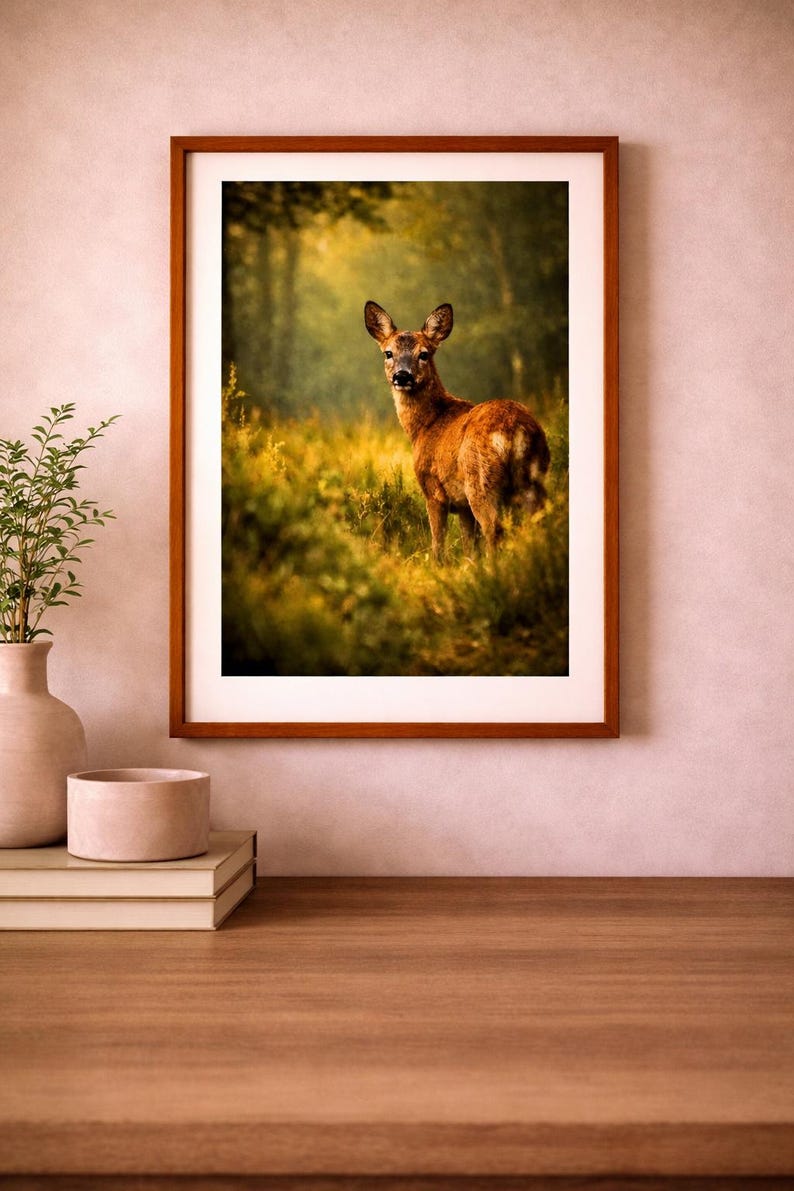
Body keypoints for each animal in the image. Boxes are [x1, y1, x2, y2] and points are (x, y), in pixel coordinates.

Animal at [364, 301, 550, 562]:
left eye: (424, 354)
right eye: (388, 353)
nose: (402, 376)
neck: (424, 426)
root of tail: (514, 428)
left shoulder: (433, 490)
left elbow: (438, 542)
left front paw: (438, 566)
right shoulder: (462, 505)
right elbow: (469, 545)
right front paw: (470, 565)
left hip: (481, 480)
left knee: (493, 528)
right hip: (534, 475)